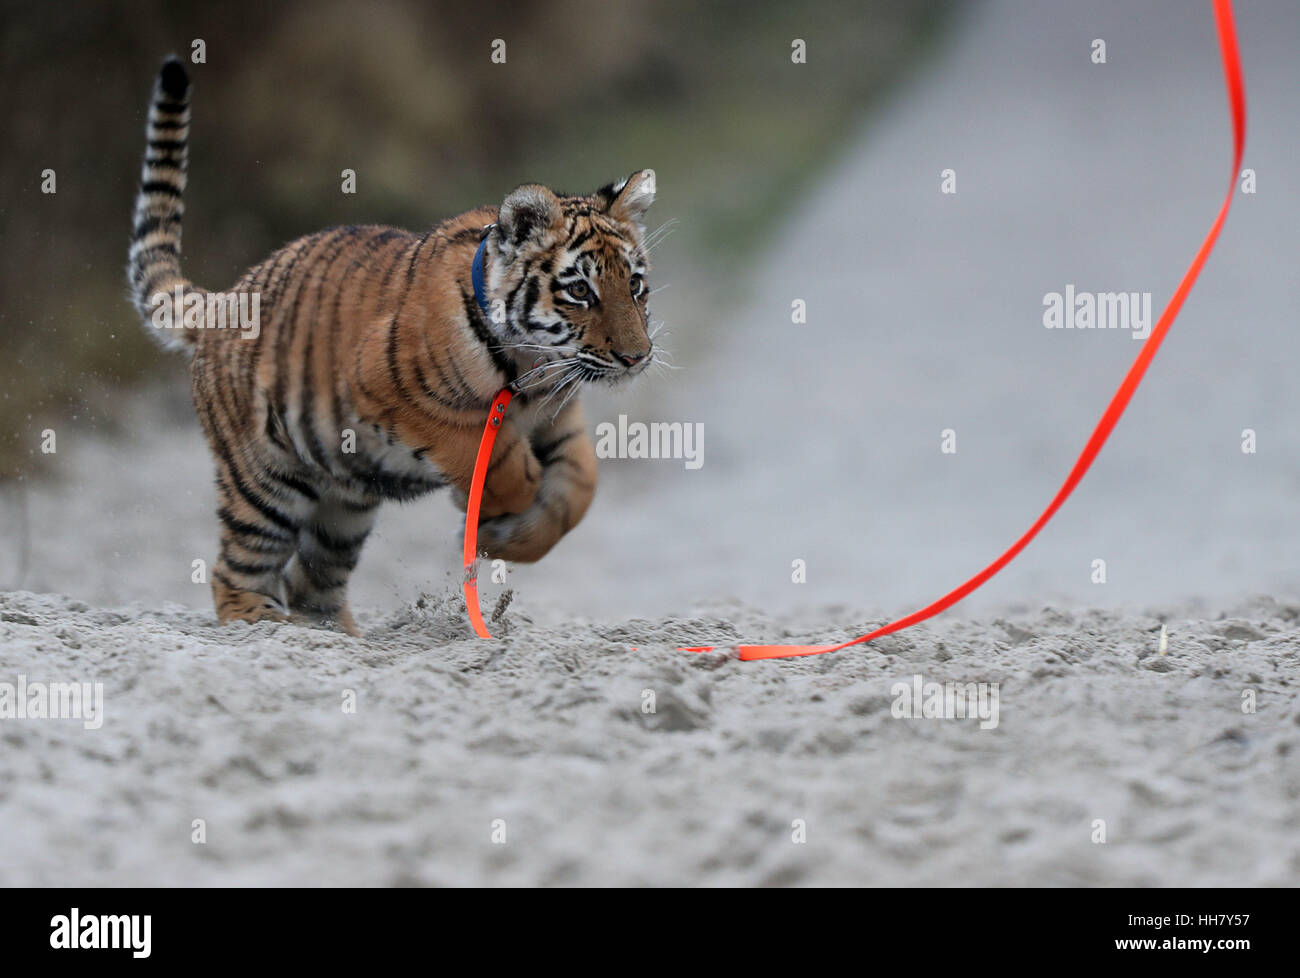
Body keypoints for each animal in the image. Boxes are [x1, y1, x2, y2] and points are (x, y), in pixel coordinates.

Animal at [127, 56, 660, 636]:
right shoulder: (386, 393)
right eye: (581, 291)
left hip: (343, 507)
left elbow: (580, 489)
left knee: (311, 580)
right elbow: (492, 456)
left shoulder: (557, 418)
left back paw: (337, 635)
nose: (637, 357)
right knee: (235, 570)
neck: (531, 364)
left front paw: (508, 536)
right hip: (265, 478)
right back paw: (265, 623)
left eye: (634, 284)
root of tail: (223, 302)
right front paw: (484, 510)